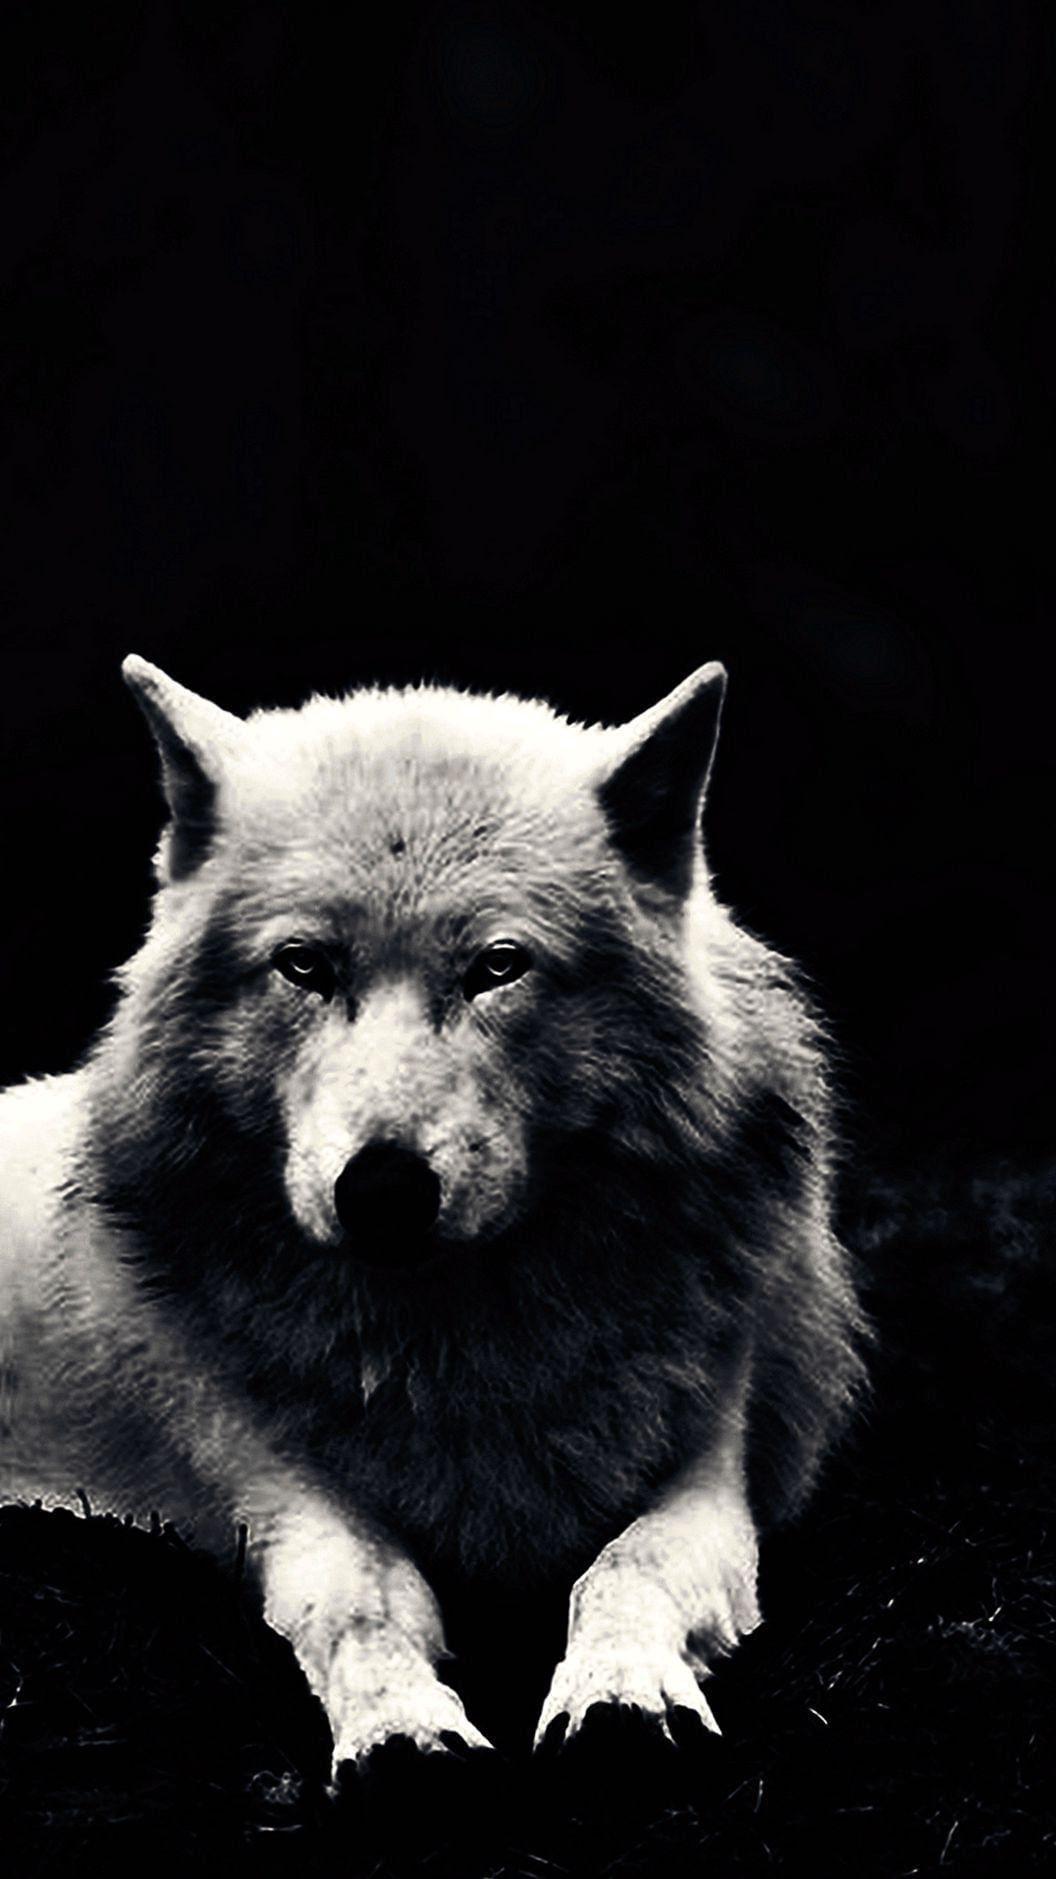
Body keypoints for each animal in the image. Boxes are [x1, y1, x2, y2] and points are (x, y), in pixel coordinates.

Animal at [0, 655, 865, 1772]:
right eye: (305, 965)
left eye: (497, 965)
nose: (381, 1189)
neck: (457, 1345)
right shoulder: (276, 1487)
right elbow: (357, 1601)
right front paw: (401, 1728)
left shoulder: (712, 1475)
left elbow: (625, 1568)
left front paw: (619, 1694)